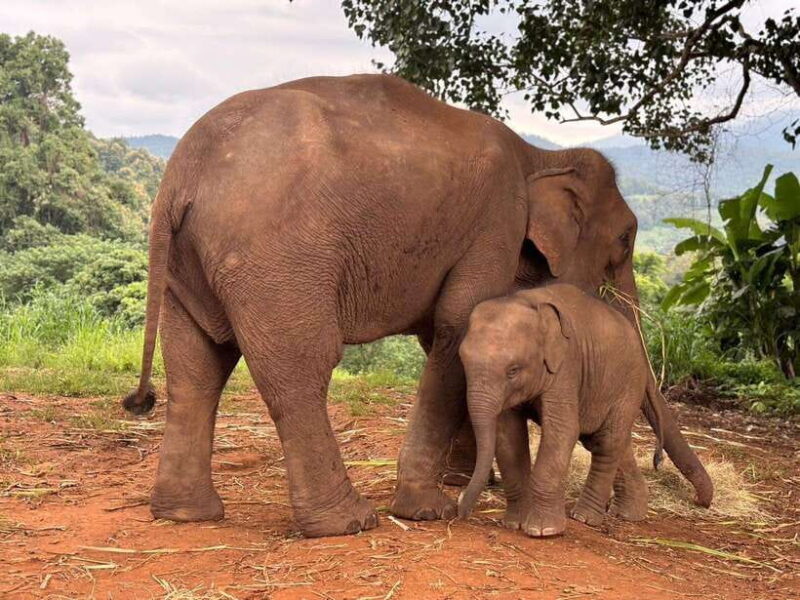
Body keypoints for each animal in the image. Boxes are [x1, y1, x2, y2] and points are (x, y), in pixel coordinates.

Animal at [456, 284, 686, 537]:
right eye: (462, 362)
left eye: (513, 370)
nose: (459, 509)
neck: (527, 302)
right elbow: (508, 434)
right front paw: (514, 524)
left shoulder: (567, 365)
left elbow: (563, 430)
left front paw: (543, 531)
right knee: (610, 441)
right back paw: (629, 514)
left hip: (627, 384)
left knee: (607, 443)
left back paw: (584, 518)